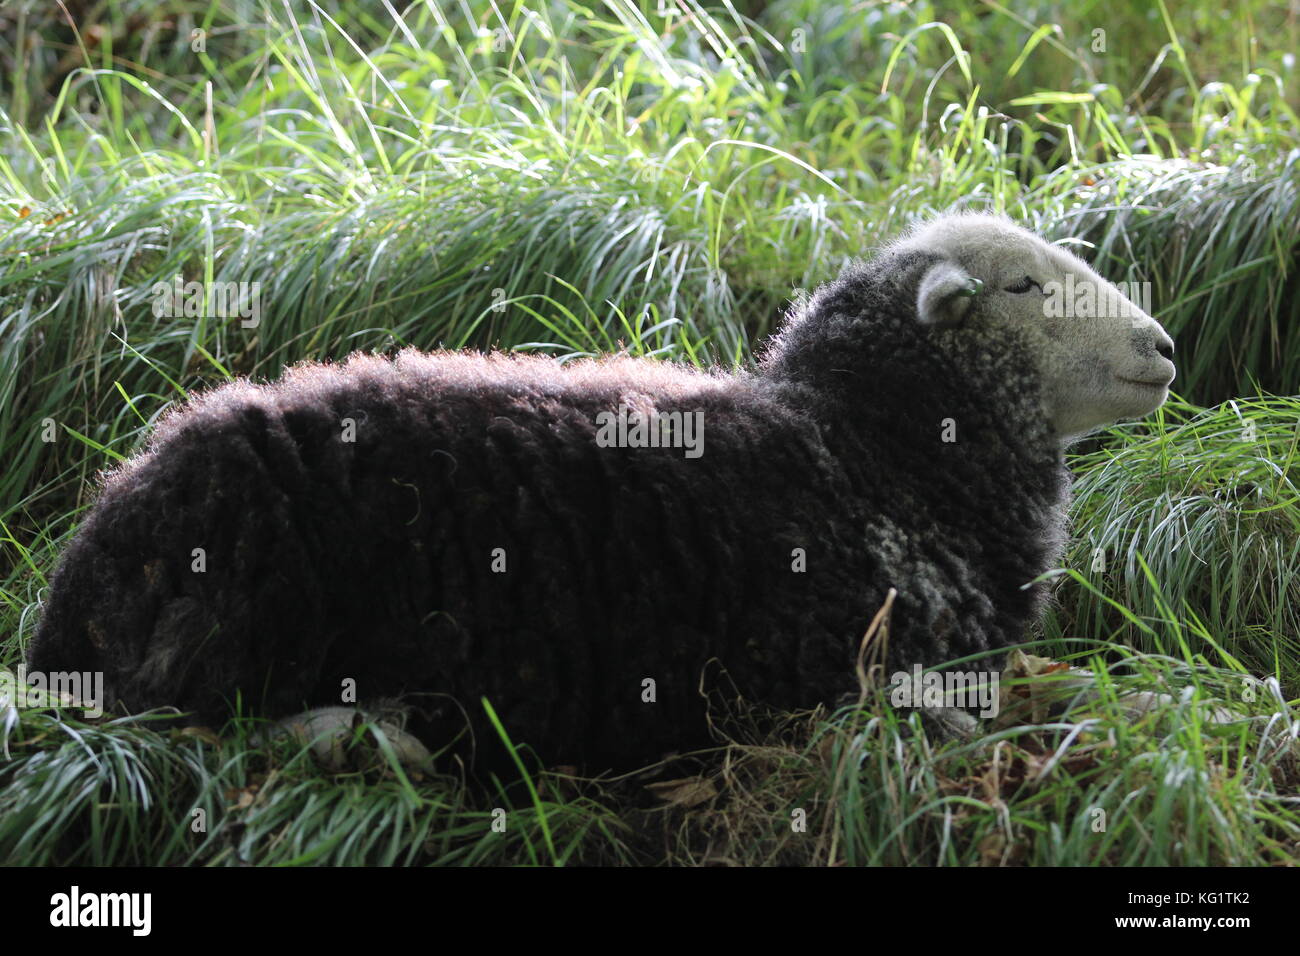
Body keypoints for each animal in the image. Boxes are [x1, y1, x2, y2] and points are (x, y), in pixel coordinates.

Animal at [26, 213, 1176, 772]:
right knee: (188, 726)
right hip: (252, 597)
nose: (1164, 348)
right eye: (1021, 287)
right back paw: (372, 738)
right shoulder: (883, 674)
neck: (866, 445)